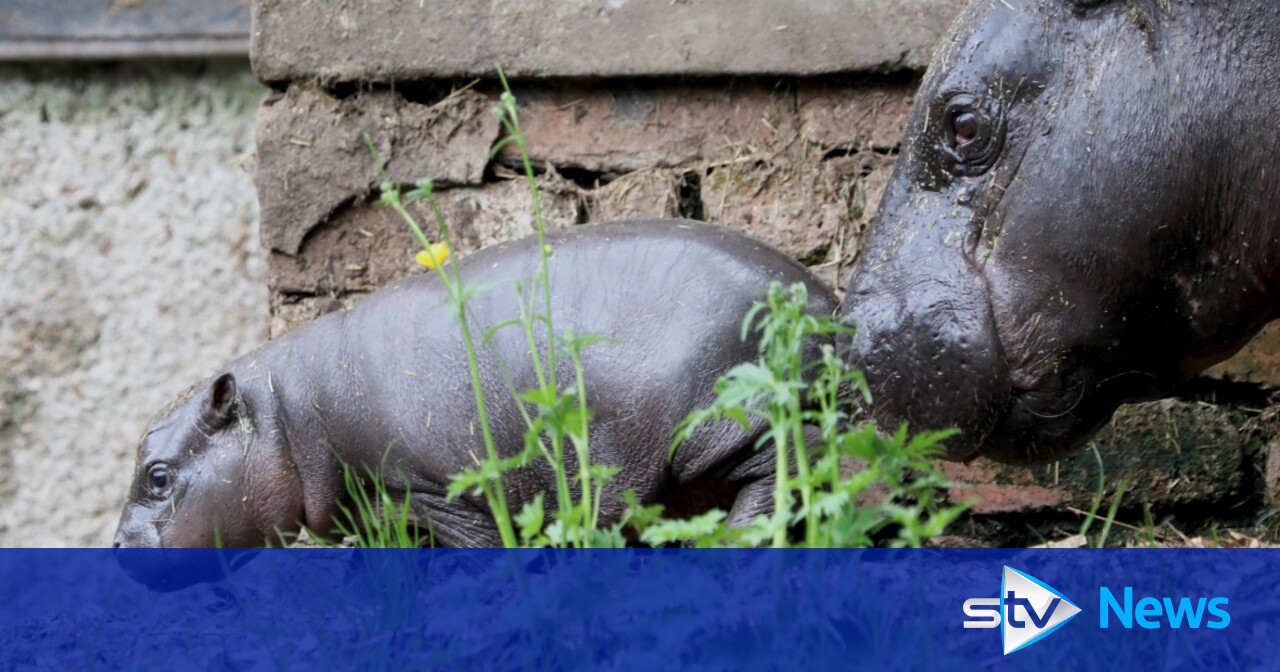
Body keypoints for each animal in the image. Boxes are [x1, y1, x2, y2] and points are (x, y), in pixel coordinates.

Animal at [114, 220, 837, 568]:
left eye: (157, 475)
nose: (116, 548)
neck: (288, 411)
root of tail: (823, 300)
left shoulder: (439, 489)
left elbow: (476, 548)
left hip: (711, 427)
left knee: (790, 461)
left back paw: (734, 541)